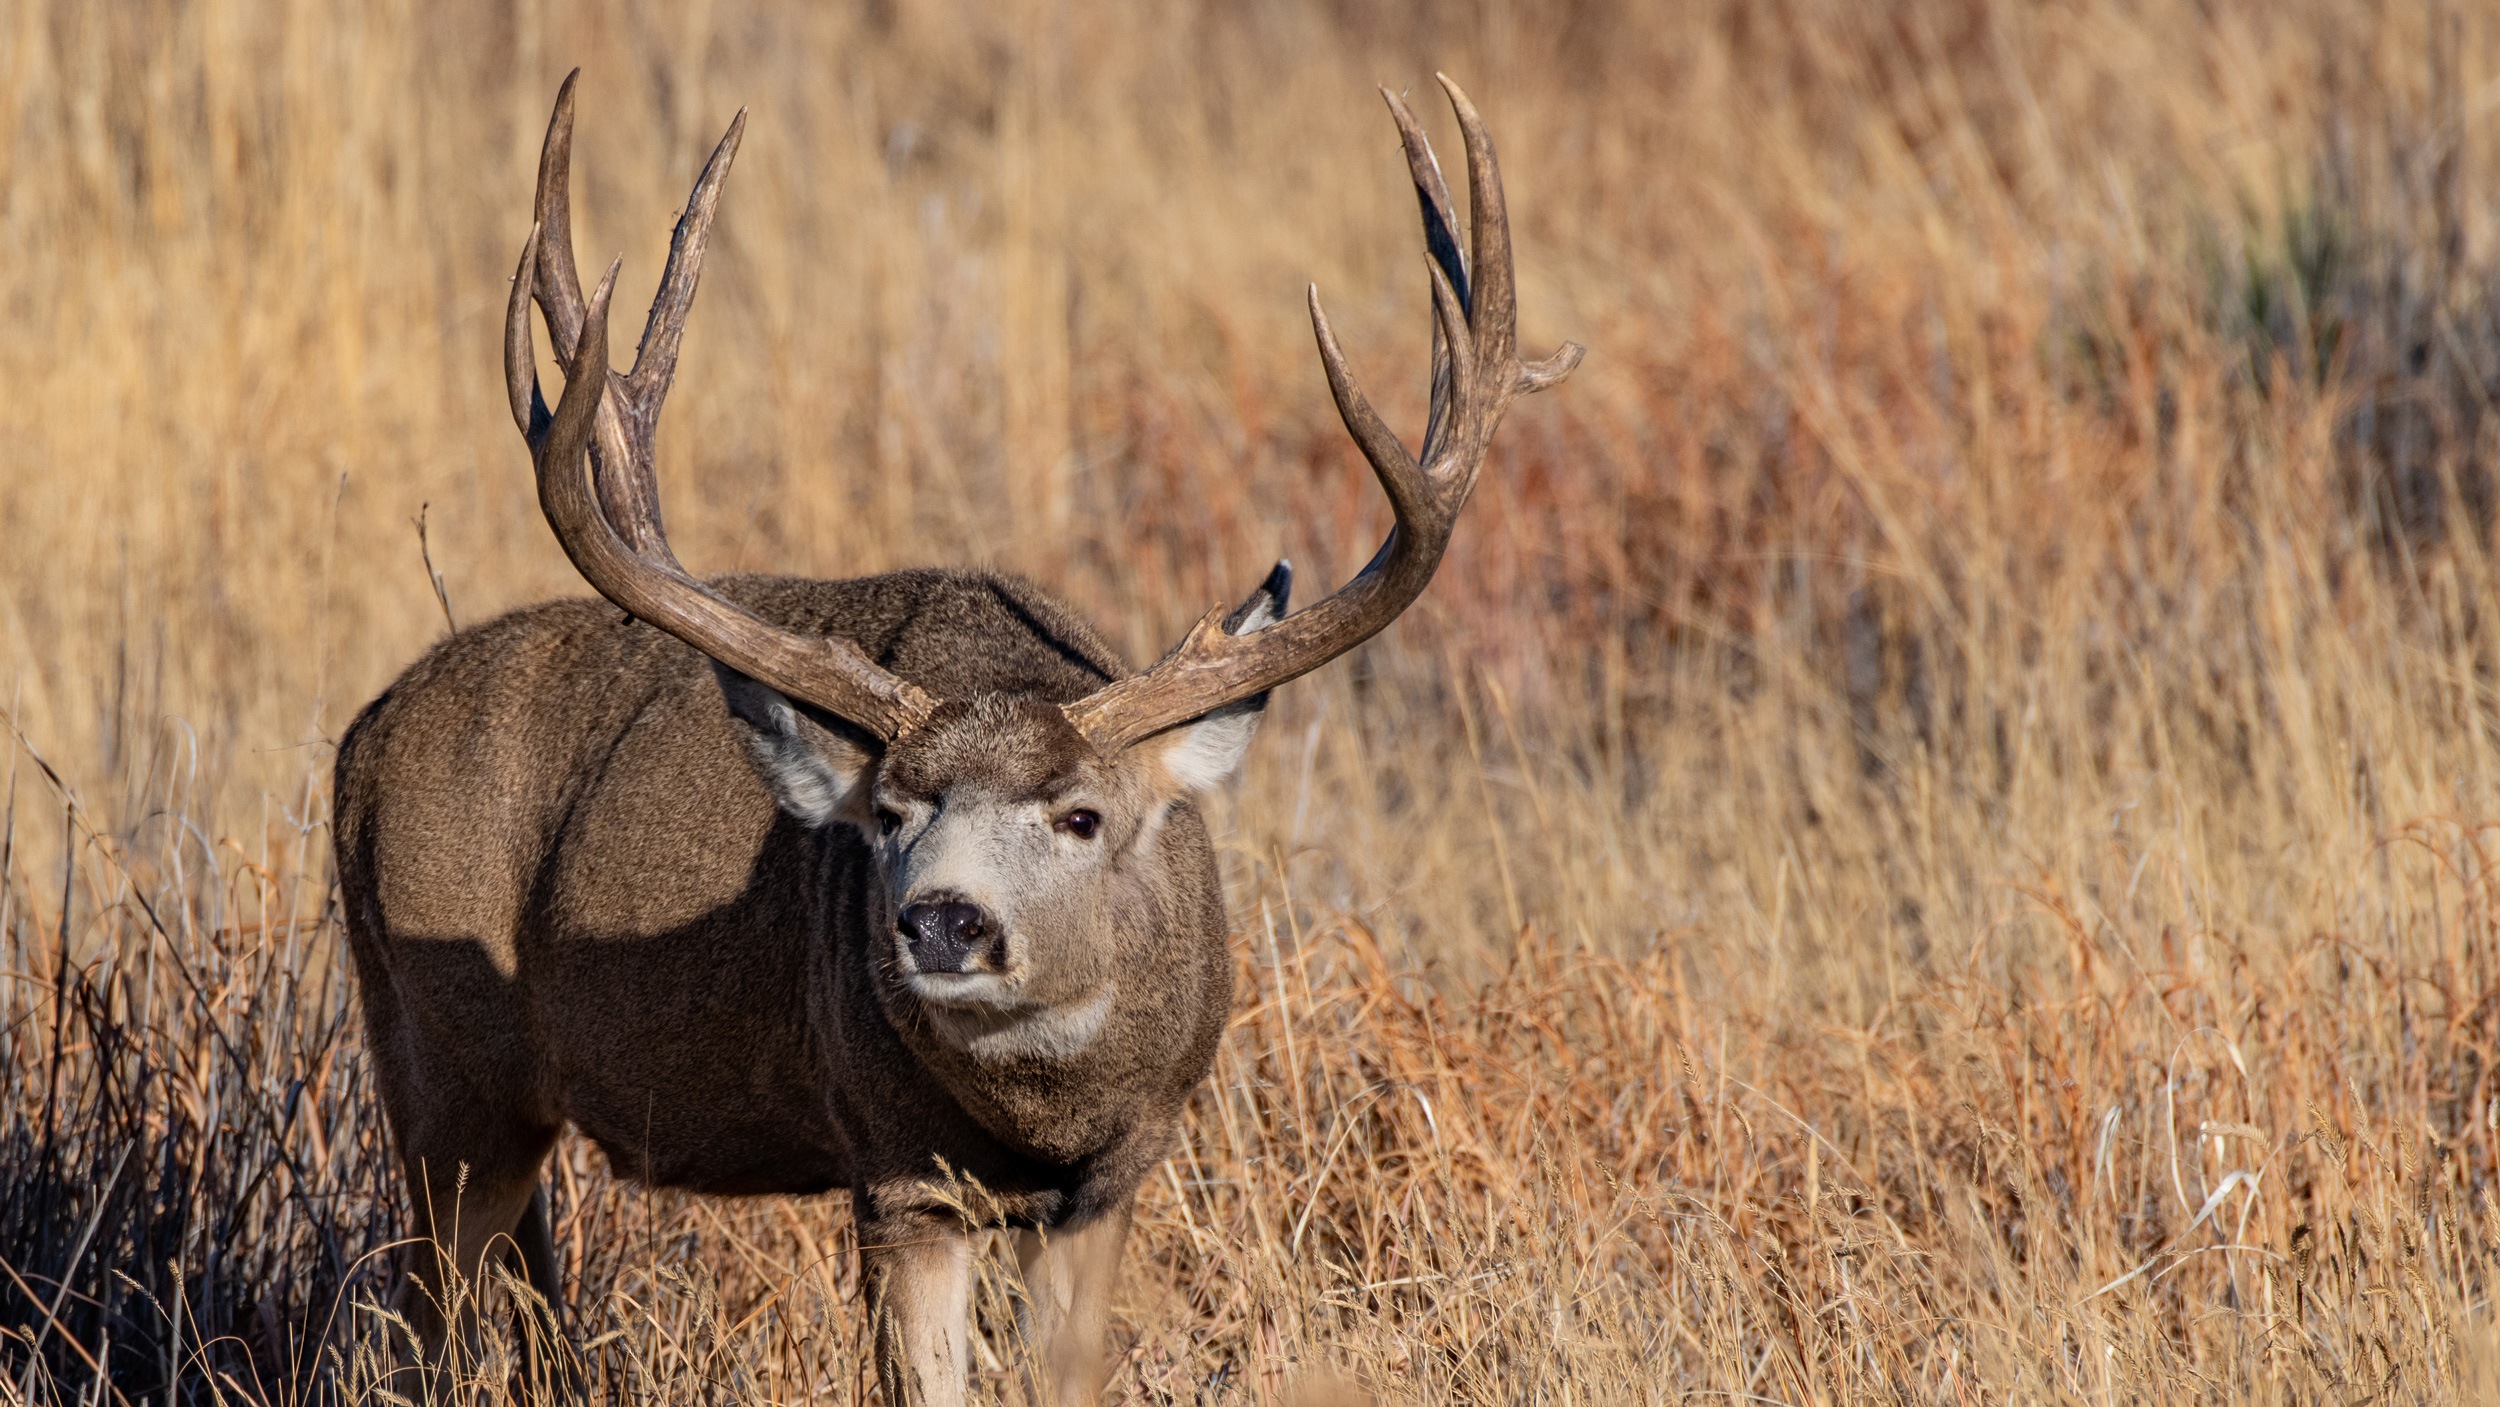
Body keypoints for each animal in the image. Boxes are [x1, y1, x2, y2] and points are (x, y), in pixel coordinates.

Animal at [332, 69, 1578, 1405]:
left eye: (1082, 816)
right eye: (887, 816)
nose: (940, 922)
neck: (1042, 1123)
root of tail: (360, 739)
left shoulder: (1116, 1179)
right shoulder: (897, 1176)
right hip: (436, 1070)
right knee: (427, 1321)